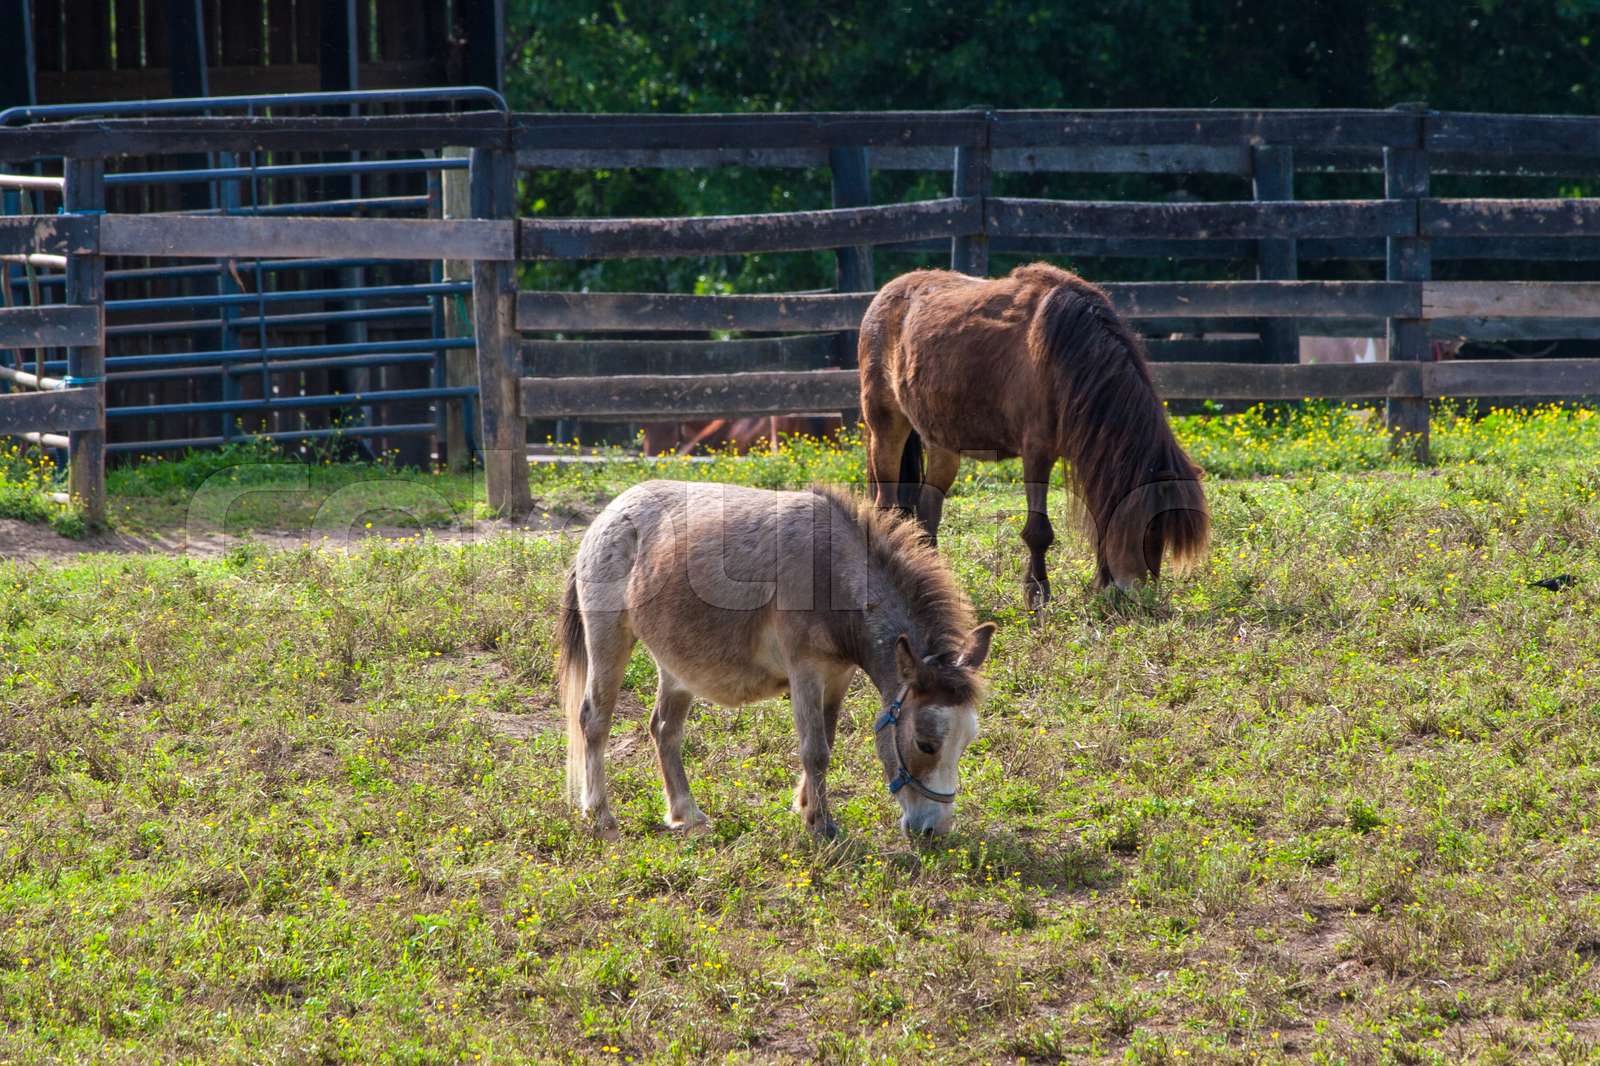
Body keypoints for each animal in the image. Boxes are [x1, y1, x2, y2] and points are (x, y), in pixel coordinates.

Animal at [558, 480, 996, 840]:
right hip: (609, 641)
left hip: (676, 665)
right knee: (594, 721)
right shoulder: (805, 672)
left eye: (966, 742)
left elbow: (826, 740)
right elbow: (815, 749)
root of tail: (609, 513)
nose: (935, 831)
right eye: (925, 745)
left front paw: (806, 807)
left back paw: (686, 814)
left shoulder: (837, 676)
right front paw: (821, 824)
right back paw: (600, 816)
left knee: (664, 729)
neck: (834, 576)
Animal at [859, 262, 1211, 606]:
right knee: (886, 506)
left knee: (928, 510)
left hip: (943, 443)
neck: (1065, 352)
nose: (1139, 595)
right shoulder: (1037, 453)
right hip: (886, 428)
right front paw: (1037, 593)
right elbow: (1038, 531)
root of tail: (885, 295)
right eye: (1148, 529)